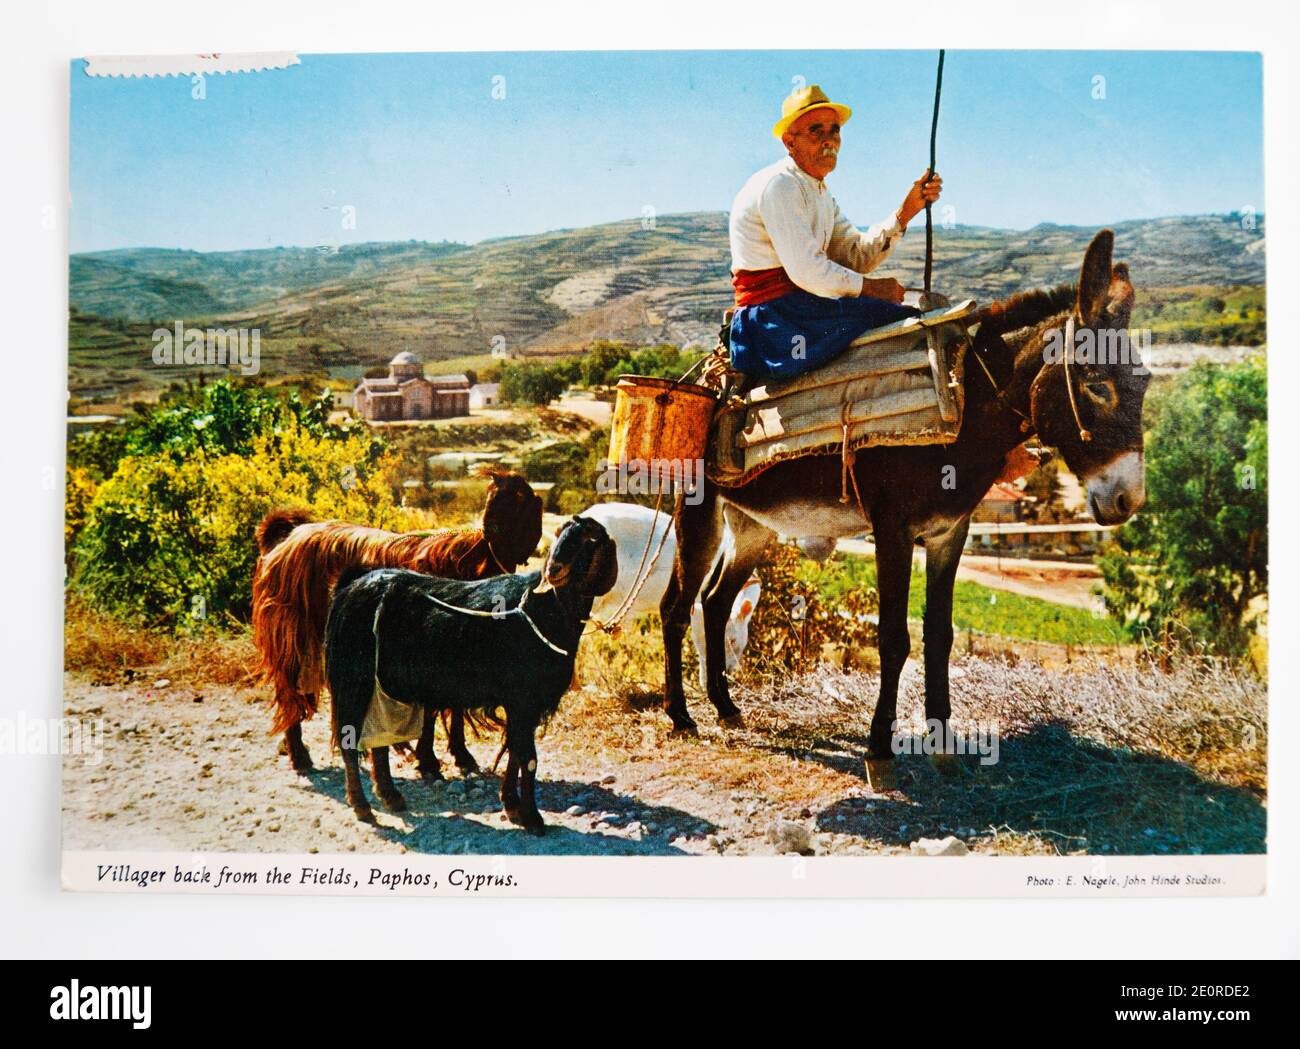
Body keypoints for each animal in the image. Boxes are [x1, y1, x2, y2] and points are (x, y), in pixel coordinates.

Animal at [322, 512, 611, 831]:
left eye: (589, 539)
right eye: (560, 534)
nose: (554, 569)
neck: (543, 609)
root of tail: (350, 586)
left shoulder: (523, 705)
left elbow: (514, 752)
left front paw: (512, 807)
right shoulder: (523, 700)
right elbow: (528, 758)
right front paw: (532, 818)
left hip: (383, 686)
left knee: (379, 742)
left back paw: (391, 796)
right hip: (353, 681)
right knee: (350, 740)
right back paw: (362, 806)